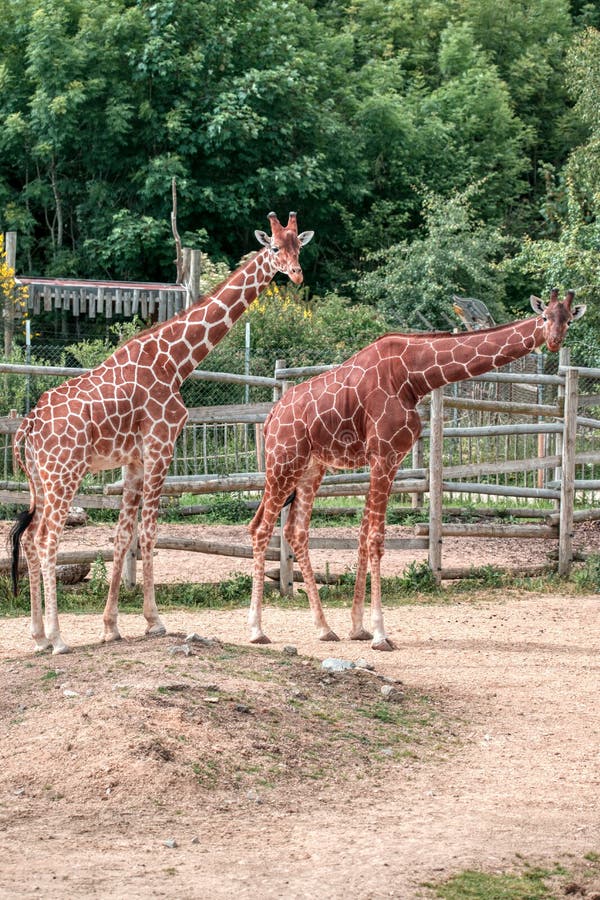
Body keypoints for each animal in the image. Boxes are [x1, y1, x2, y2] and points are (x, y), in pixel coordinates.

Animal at [11, 211, 314, 655]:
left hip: (39, 479)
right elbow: (150, 531)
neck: (175, 361)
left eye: (298, 247)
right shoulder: (160, 446)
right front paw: (154, 621)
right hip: (64, 474)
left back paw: (36, 637)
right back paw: (58, 638)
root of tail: (27, 427)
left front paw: (111, 627)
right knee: (48, 539)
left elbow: (122, 537)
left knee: (32, 538)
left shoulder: (135, 461)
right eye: (275, 247)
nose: (296, 275)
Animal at [248, 289, 586, 650]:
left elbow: (363, 535)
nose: (554, 341)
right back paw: (256, 630)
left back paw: (324, 628)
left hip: (312, 468)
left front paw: (358, 628)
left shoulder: (392, 458)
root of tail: (271, 417)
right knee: (260, 529)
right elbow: (376, 538)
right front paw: (380, 634)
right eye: (544, 316)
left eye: (568, 319)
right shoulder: (383, 454)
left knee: (295, 531)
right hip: (284, 462)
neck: (414, 376)